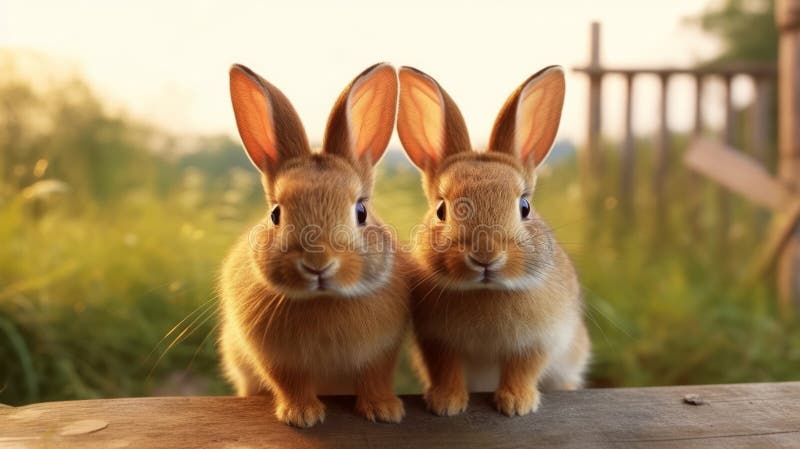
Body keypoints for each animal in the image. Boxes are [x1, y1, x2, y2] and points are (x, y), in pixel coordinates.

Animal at [218, 62, 410, 428]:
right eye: (276, 214)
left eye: (361, 212)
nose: (317, 265)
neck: (324, 300)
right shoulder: (278, 358)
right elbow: (291, 383)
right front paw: (302, 415)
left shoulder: (381, 351)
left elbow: (374, 378)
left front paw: (384, 411)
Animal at [395, 65, 591, 417]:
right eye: (442, 210)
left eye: (524, 206)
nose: (485, 256)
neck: (485, 291)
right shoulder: (437, 342)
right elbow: (446, 369)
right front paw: (447, 403)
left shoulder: (536, 341)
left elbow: (522, 369)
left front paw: (516, 403)